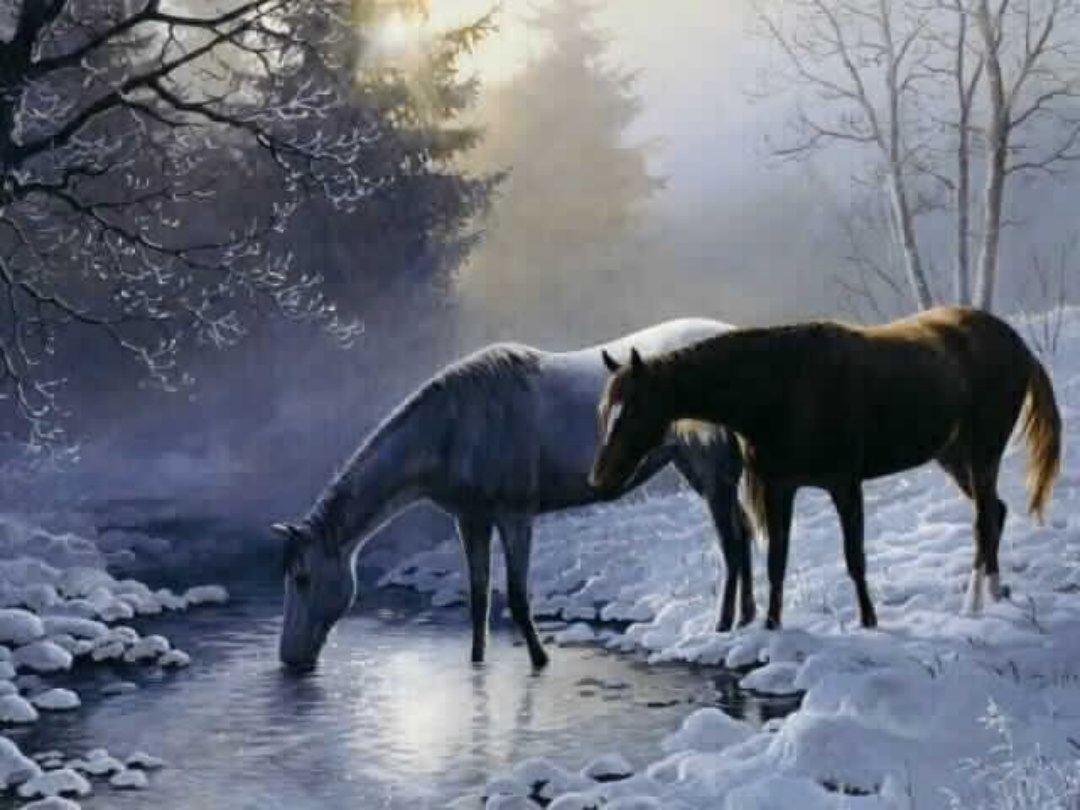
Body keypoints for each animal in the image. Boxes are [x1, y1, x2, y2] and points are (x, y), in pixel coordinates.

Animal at [272, 318, 755, 671]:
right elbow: (479, 597)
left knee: (732, 545)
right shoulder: (471, 519)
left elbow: (519, 597)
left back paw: (724, 626)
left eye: (303, 578)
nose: (289, 659)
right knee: (746, 538)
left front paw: (540, 661)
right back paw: (747, 621)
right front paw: (477, 663)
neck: (457, 425)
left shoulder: (515, 516)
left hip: (712, 473)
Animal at [590, 306, 1062, 631]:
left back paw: (977, 604)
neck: (782, 387)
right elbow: (777, 562)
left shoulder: (844, 485)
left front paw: (869, 623)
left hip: (982, 452)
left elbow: (854, 558)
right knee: (995, 512)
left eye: (632, 411)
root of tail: (1015, 341)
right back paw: (992, 597)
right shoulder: (780, 488)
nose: (600, 478)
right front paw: (772, 626)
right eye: (604, 412)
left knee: (984, 519)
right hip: (953, 456)